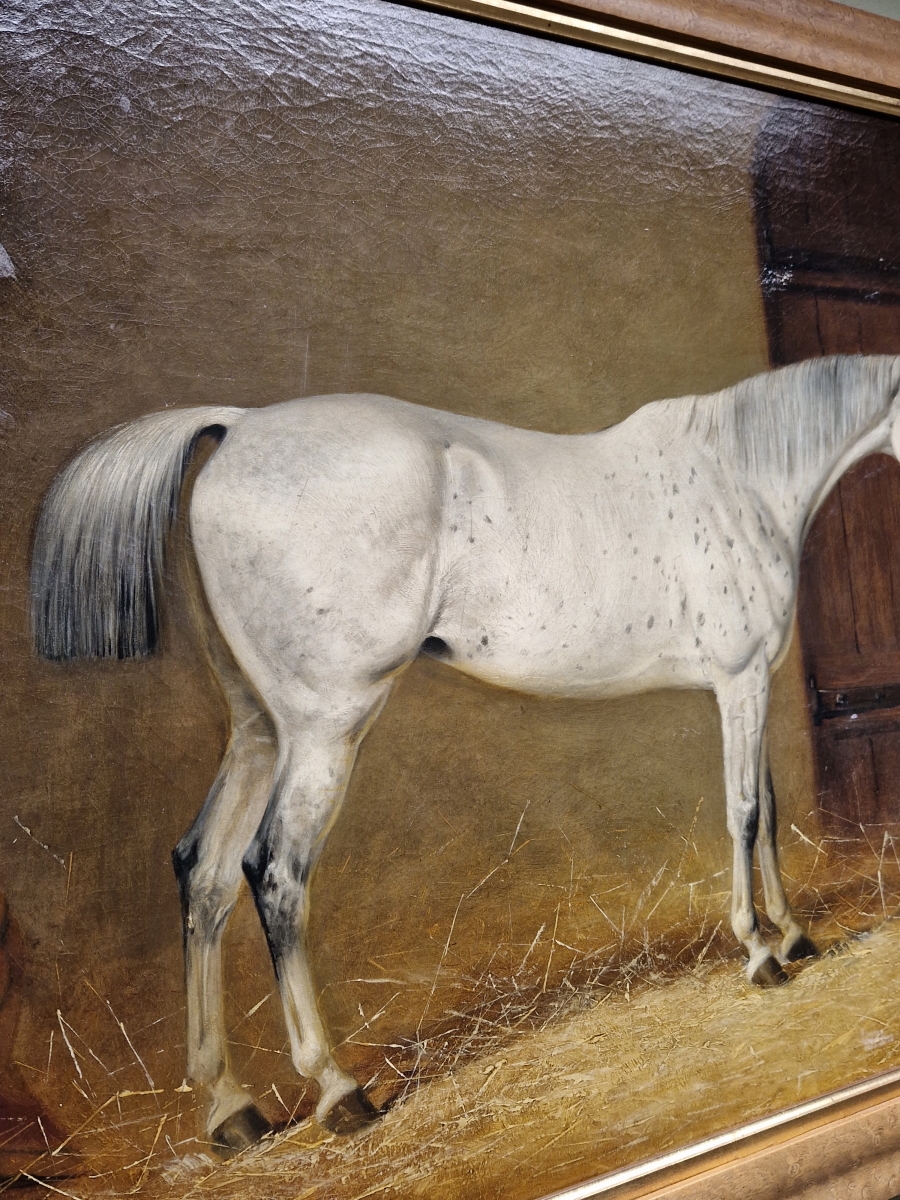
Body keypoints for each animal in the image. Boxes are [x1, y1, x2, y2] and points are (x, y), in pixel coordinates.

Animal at [30, 354, 900, 1153]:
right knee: (273, 873)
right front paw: (760, 953)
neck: (737, 478)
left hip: (256, 730)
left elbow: (770, 807)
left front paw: (794, 935)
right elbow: (745, 812)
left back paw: (231, 1108)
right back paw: (339, 1090)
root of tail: (238, 426)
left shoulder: (749, 684)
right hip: (322, 731)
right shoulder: (738, 678)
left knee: (203, 872)